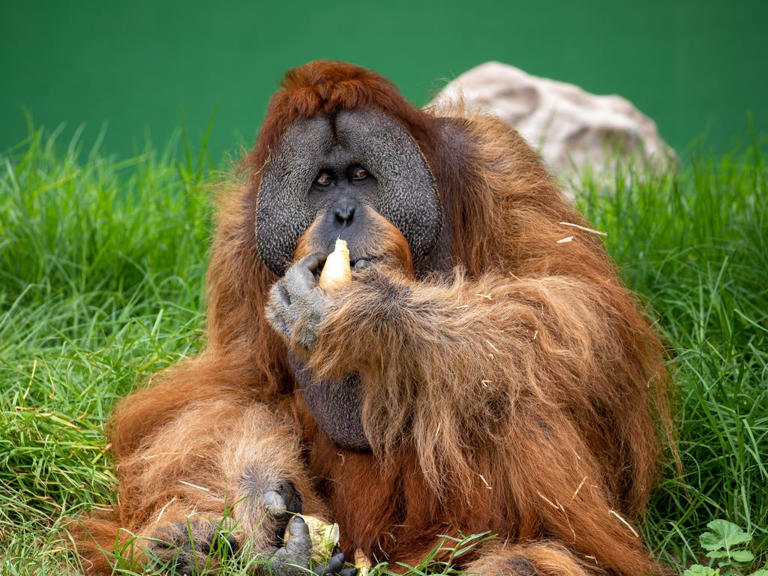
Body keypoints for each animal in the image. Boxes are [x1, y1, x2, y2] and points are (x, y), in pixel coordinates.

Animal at [71, 61, 674, 576]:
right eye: (321, 182)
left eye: (360, 175)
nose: (342, 213)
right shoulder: (239, 233)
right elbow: (236, 388)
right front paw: (262, 515)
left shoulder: (500, 163)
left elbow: (581, 311)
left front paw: (365, 314)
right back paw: (191, 551)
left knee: (509, 383)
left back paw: (525, 559)